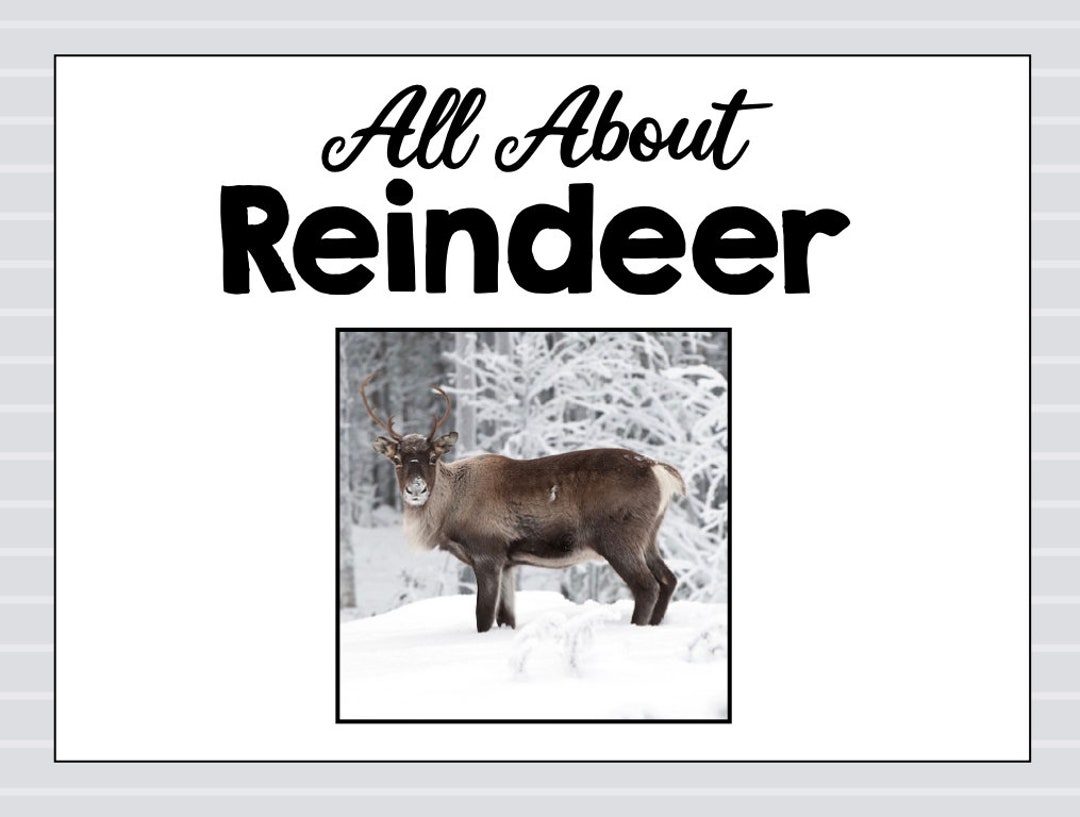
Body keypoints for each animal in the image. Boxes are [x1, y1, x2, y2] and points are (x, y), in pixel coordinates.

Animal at [360, 373, 686, 633]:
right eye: (397, 460)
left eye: (432, 457)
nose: (416, 489)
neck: (448, 514)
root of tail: (660, 471)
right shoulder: (508, 563)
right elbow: (507, 618)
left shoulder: (487, 554)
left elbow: (483, 617)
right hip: (649, 537)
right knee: (669, 579)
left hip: (618, 538)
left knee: (646, 586)